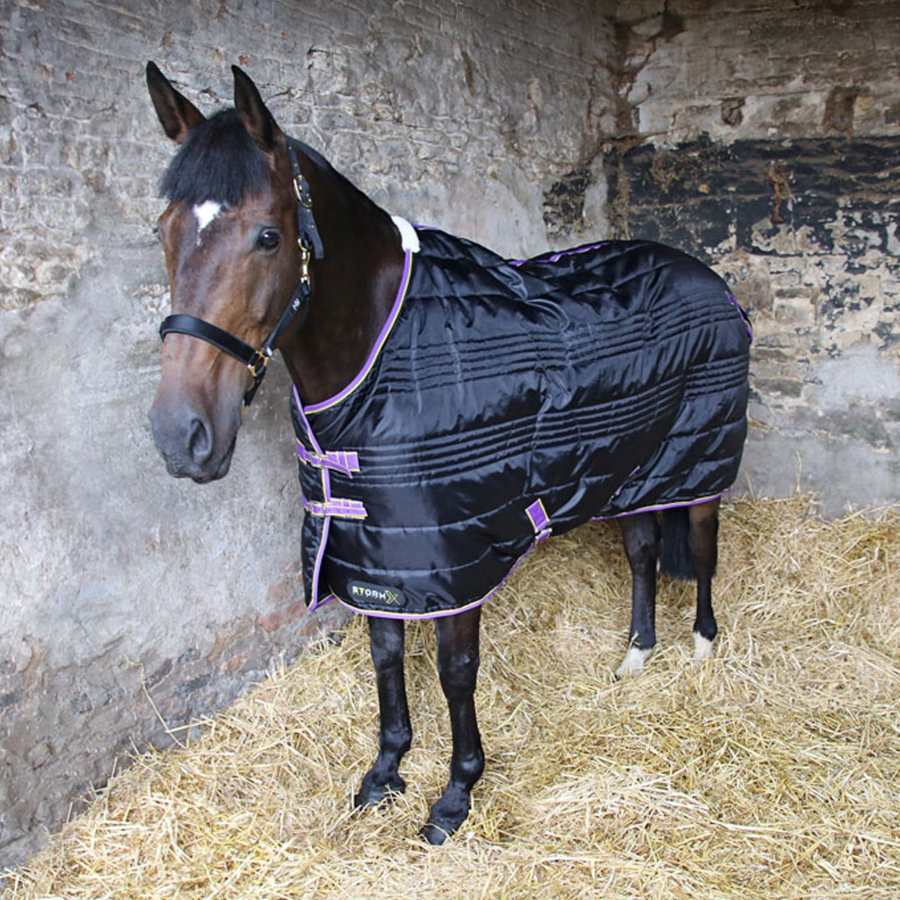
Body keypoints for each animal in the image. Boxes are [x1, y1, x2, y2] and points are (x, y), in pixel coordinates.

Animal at [146, 62, 751, 844]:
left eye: (268, 237)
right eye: (163, 231)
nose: (179, 434)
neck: (382, 350)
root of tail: (708, 277)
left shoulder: (457, 561)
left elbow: (456, 672)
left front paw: (456, 794)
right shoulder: (378, 554)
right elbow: (386, 659)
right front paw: (385, 771)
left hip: (699, 464)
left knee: (701, 550)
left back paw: (702, 646)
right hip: (633, 473)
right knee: (644, 552)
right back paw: (636, 655)